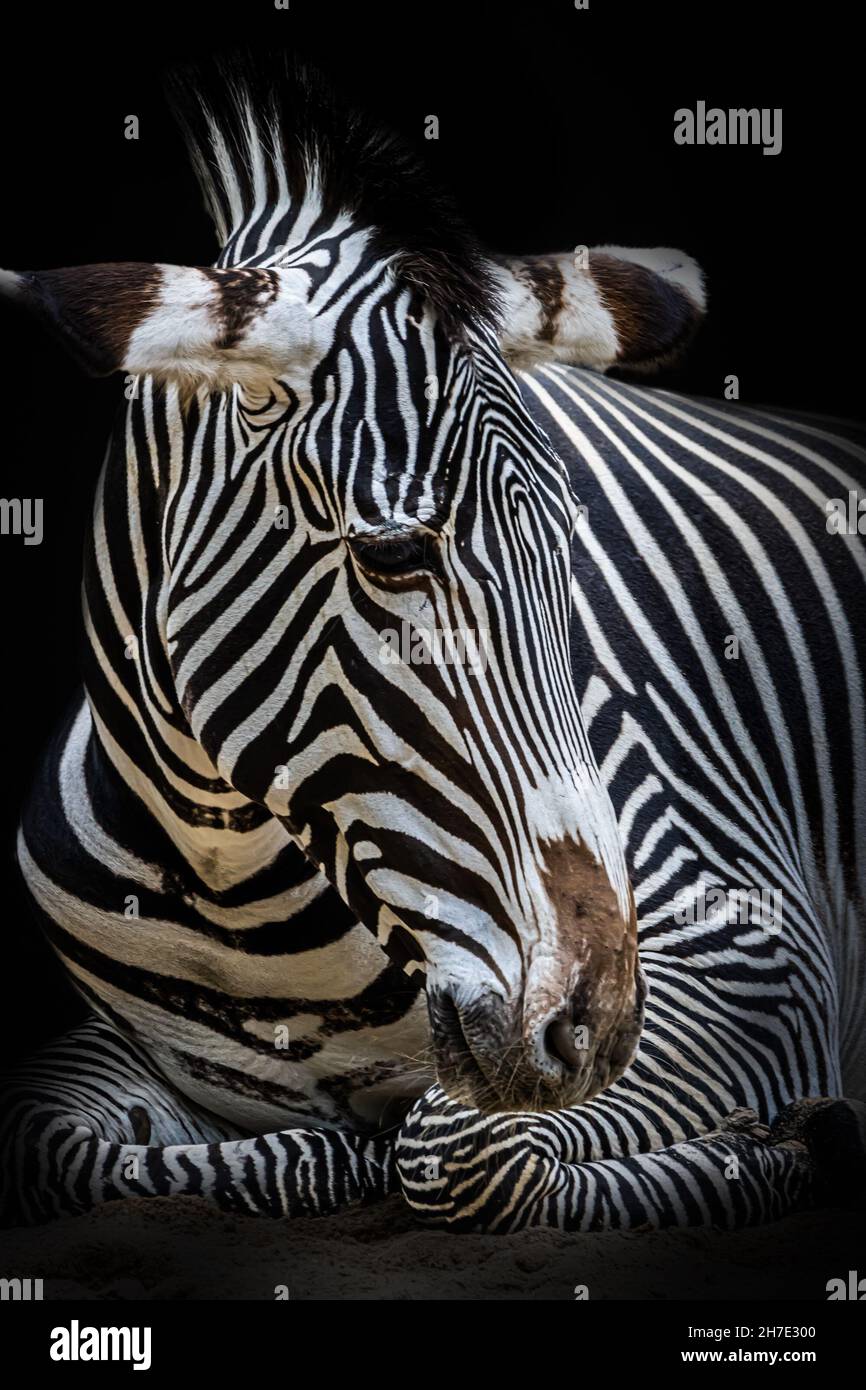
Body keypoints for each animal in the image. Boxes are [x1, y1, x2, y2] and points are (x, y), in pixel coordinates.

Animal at [1, 54, 864, 1232]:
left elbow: (453, 1148)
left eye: (573, 542)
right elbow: (51, 1140)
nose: (593, 1023)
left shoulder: (747, 939)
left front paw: (778, 1149)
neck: (238, 885)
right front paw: (318, 1158)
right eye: (397, 553)